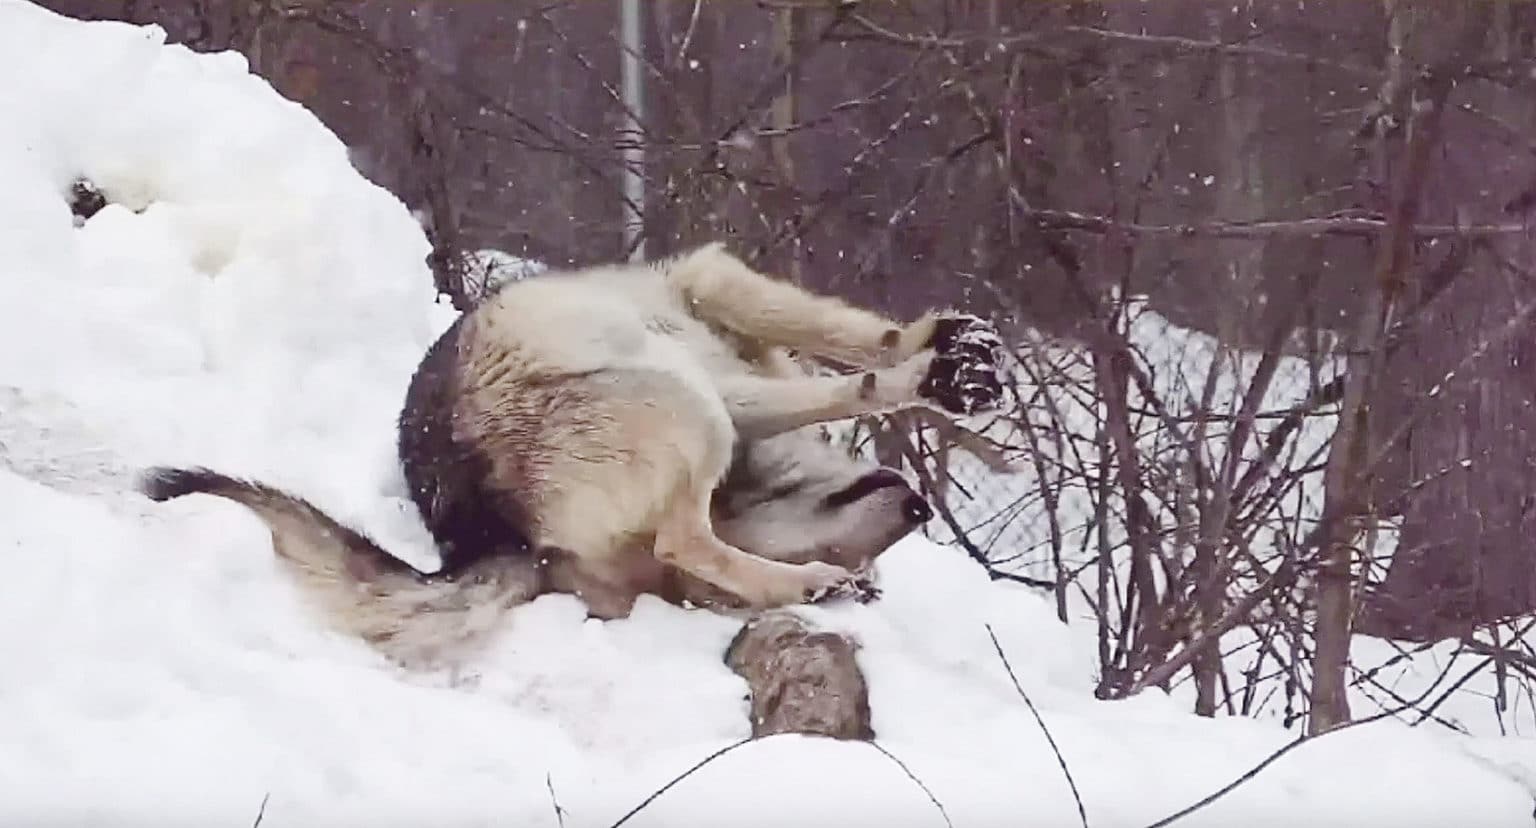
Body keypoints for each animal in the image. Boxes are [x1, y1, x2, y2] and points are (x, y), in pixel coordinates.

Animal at [140, 242, 1006, 667]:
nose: (917, 506)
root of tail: (489, 530)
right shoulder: (713, 298)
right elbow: (852, 355)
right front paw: (940, 363)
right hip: (684, 404)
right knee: (683, 535)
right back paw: (804, 582)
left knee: (689, 545)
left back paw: (803, 586)